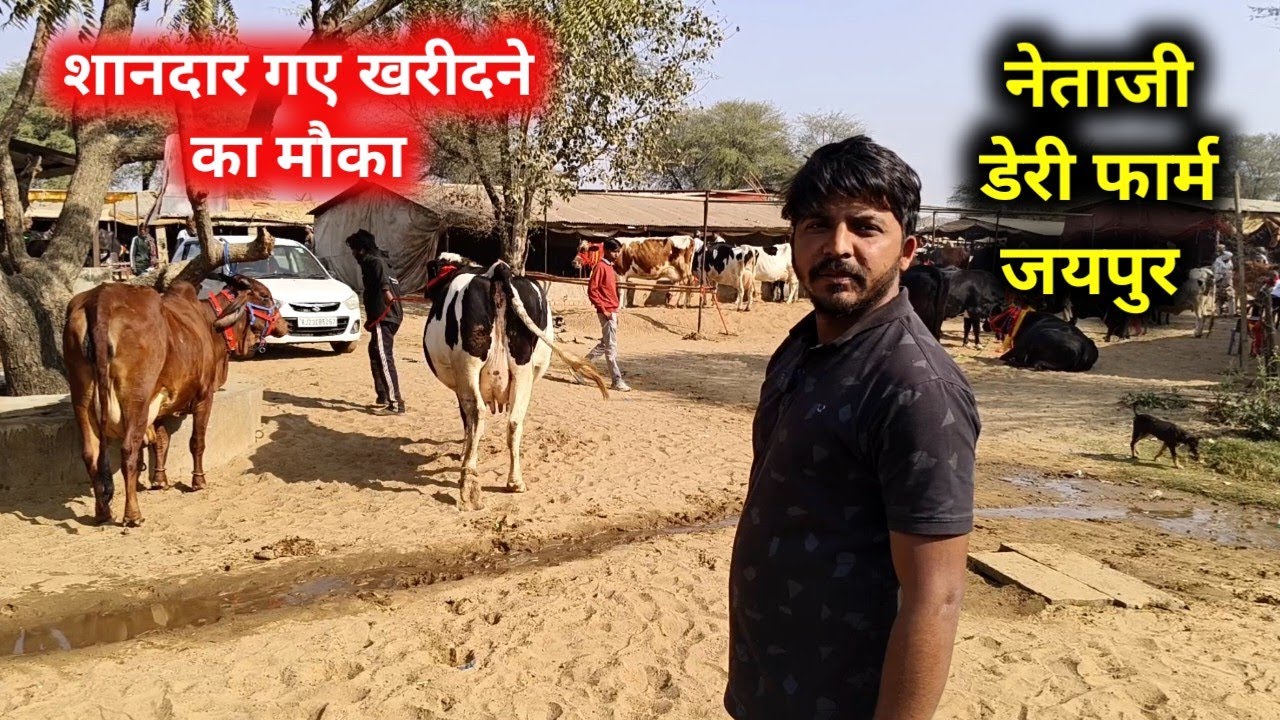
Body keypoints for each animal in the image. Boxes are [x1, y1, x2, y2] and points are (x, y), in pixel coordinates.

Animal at [63, 274, 288, 526]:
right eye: (265, 296)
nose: (284, 325)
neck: (208, 323)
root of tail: (101, 298)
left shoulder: (160, 402)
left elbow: (161, 441)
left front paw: (160, 480)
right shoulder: (204, 396)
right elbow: (197, 442)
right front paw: (198, 481)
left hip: (82, 397)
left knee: (90, 454)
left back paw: (103, 512)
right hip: (136, 398)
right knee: (128, 451)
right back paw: (133, 514)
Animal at [422, 259, 609, 510]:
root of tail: (498, 270)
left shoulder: (459, 386)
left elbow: (466, 422)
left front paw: (464, 454)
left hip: (467, 366)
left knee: (477, 414)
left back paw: (469, 482)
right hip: (522, 369)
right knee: (514, 422)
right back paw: (515, 481)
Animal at [571, 235, 701, 308]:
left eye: (585, 250)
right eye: (578, 249)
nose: (574, 262)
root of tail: (690, 238)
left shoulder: (621, 273)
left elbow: (621, 290)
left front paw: (619, 307)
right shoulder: (624, 276)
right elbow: (625, 289)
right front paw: (624, 305)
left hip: (683, 269)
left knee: (687, 283)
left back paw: (684, 304)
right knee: (684, 285)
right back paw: (681, 304)